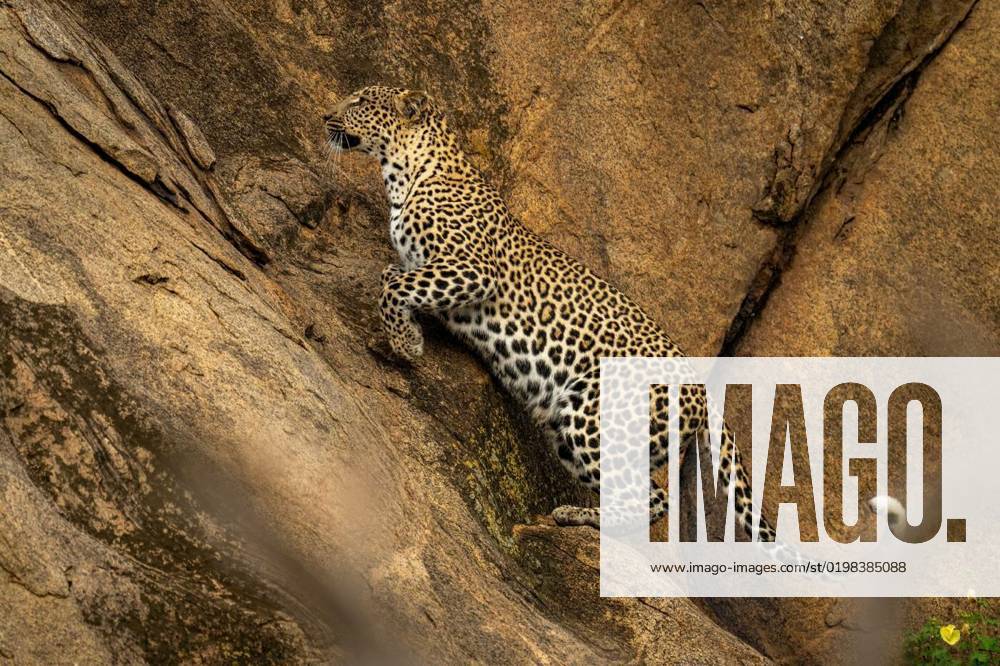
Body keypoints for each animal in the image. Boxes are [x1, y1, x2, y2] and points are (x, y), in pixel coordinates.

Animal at [323, 85, 778, 544]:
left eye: (360, 102)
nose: (326, 116)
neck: (404, 175)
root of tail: (702, 391)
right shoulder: (432, 266)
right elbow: (391, 274)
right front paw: (405, 332)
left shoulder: (474, 268)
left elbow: (394, 285)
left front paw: (405, 343)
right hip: (569, 429)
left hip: (592, 415)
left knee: (655, 498)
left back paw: (575, 515)